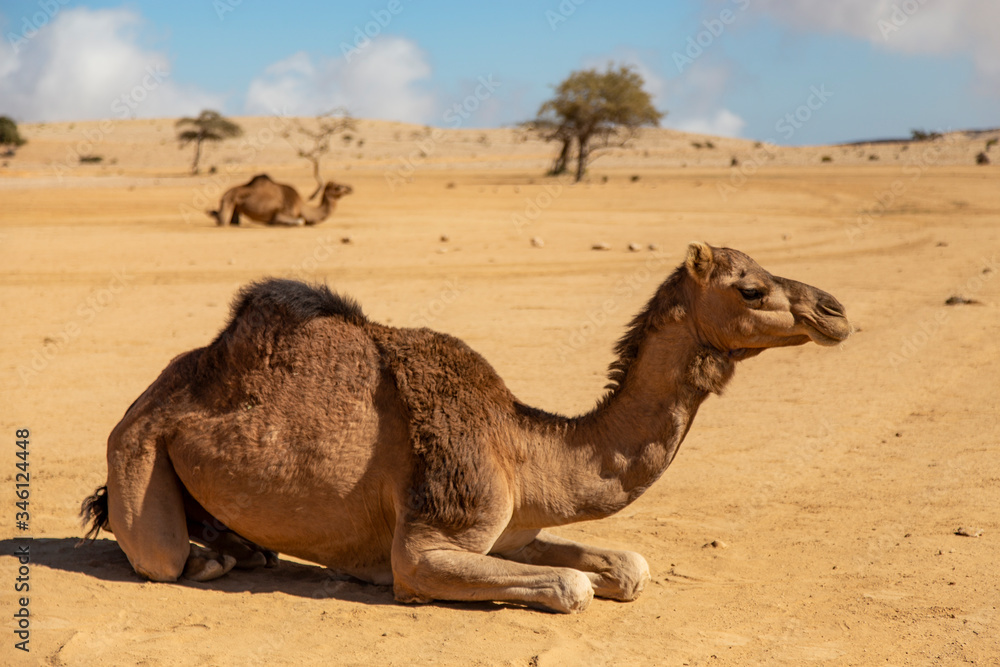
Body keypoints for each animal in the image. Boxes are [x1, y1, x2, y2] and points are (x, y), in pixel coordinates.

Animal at [81, 243, 850, 613]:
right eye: (751, 288)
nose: (835, 309)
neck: (524, 444)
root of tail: (146, 400)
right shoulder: (431, 542)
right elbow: (572, 588)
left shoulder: (517, 527)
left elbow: (629, 568)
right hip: (137, 452)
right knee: (160, 556)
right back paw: (210, 558)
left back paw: (246, 549)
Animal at [208, 174, 352, 227]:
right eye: (338, 187)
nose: (350, 188)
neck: (300, 206)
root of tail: (226, 193)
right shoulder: (281, 214)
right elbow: (300, 221)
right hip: (227, 200)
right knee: (223, 220)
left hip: (236, 208)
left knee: (235, 221)